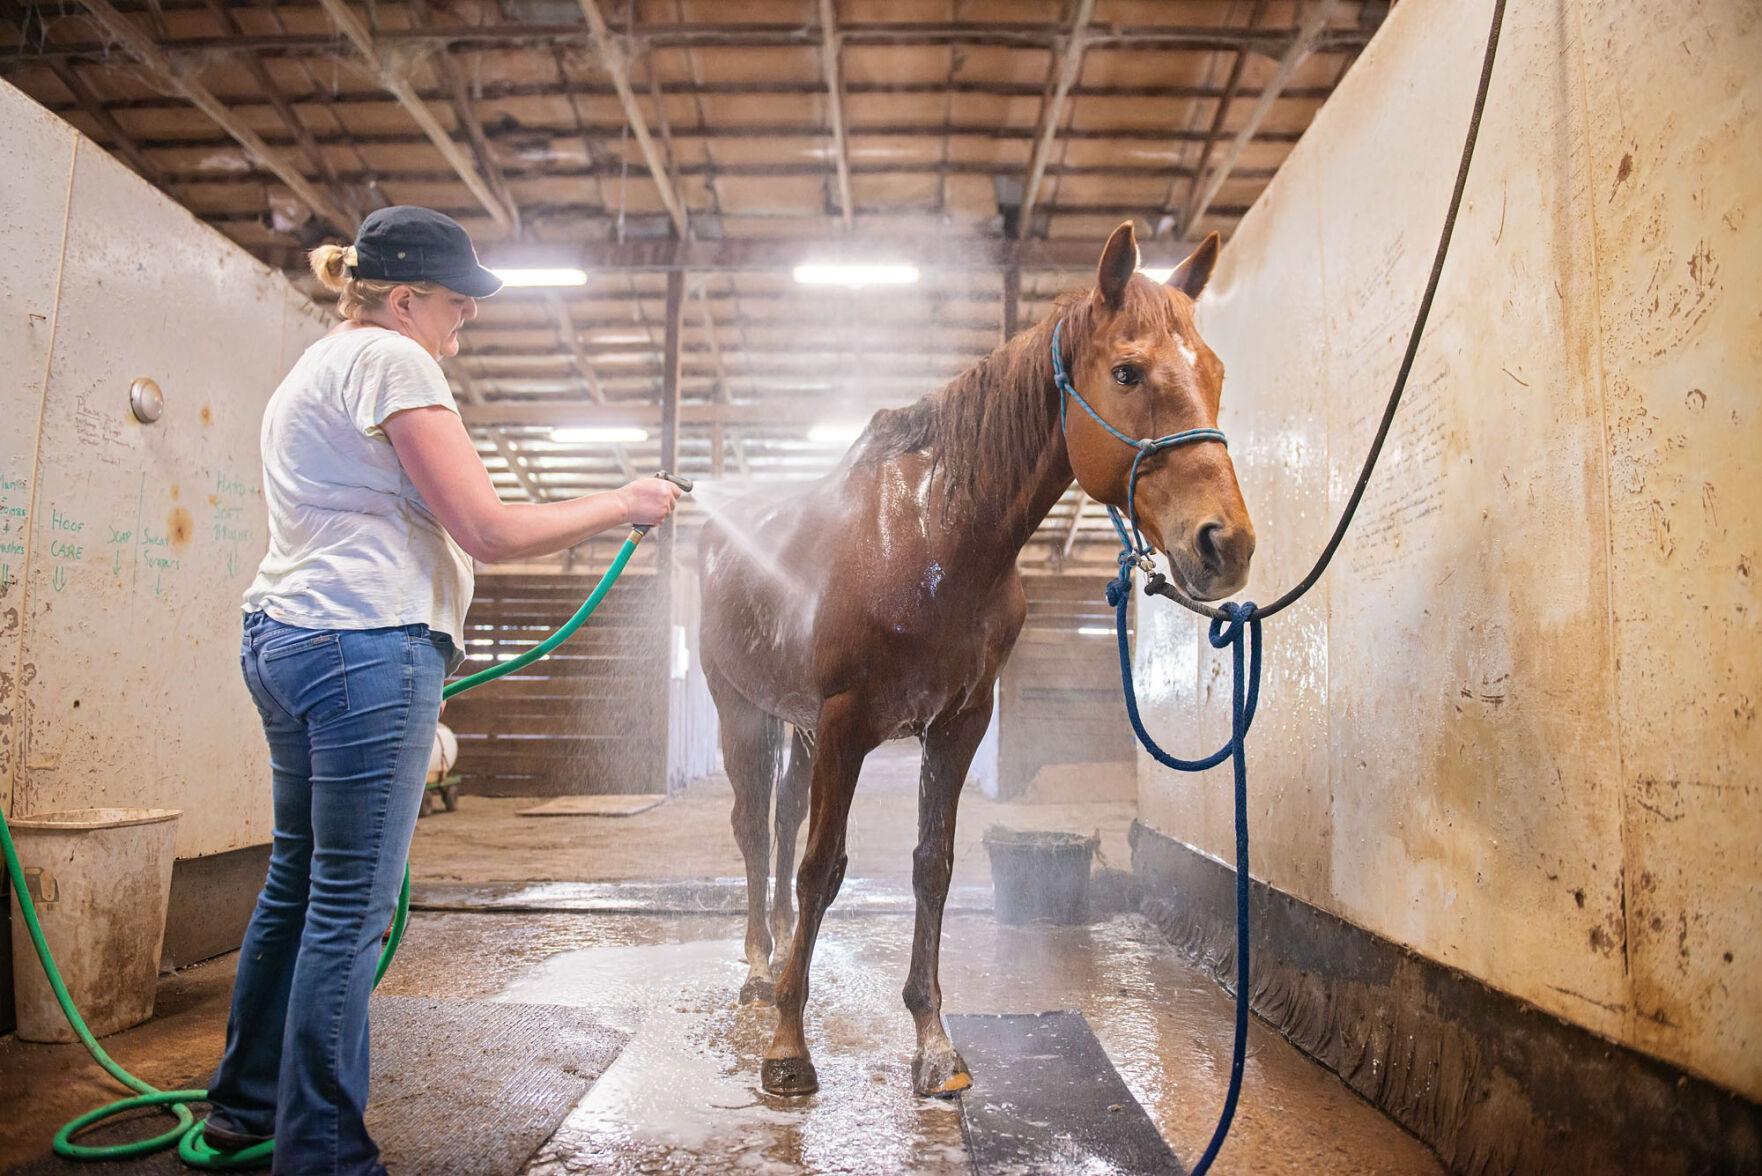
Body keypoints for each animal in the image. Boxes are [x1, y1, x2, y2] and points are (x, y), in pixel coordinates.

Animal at [698, 221, 1255, 1098]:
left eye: (1215, 372)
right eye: (1127, 371)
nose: (1223, 544)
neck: (933, 535)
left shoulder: (955, 724)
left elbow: (933, 866)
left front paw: (934, 1045)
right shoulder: (848, 722)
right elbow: (822, 867)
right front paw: (788, 1047)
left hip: (798, 727)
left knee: (779, 825)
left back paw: (780, 950)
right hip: (741, 712)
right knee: (756, 831)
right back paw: (759, 969)